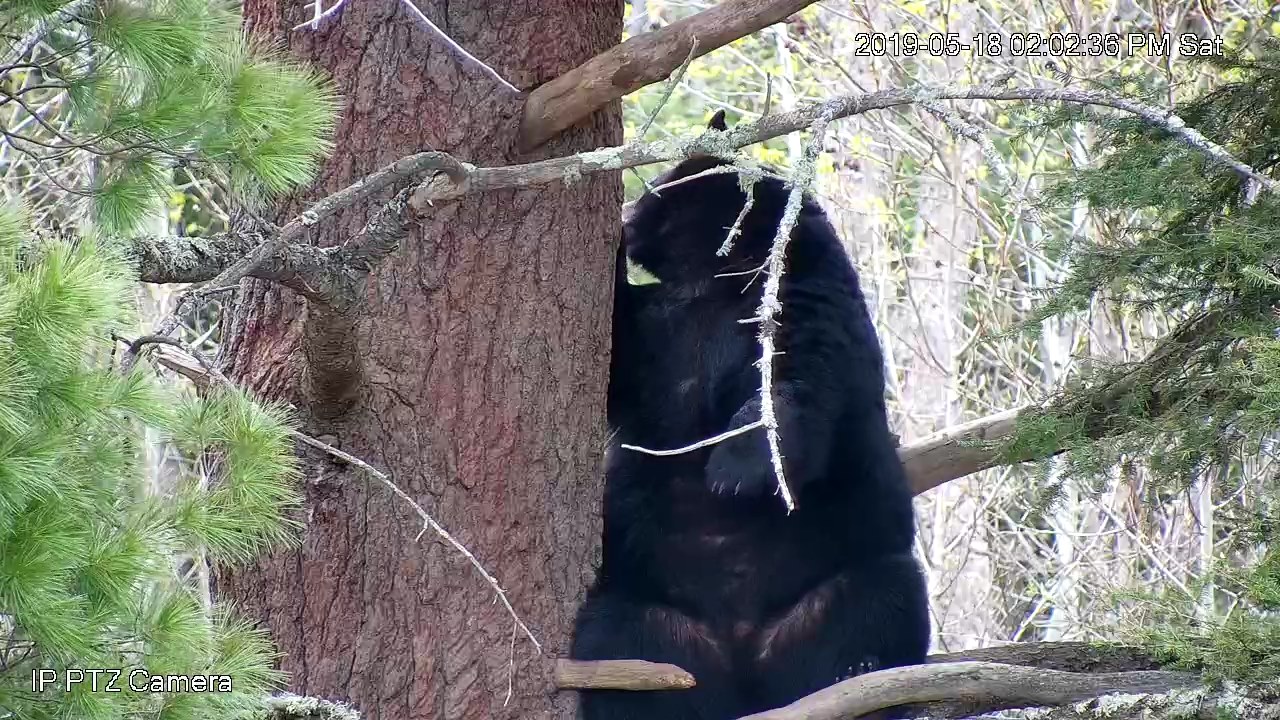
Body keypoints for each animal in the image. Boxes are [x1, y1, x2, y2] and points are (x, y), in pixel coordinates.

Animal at [569, 119, 930, 720]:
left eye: (659, 189)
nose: (630, 213)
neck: (719, 278)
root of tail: (744, 677)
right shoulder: (663, 330)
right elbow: (624, 359)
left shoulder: (801, 300)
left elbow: (791, 386)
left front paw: (734, 471)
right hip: (644, 606)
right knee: (614, 641)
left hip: (841, 576)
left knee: (883, 600)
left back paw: (859, 674)